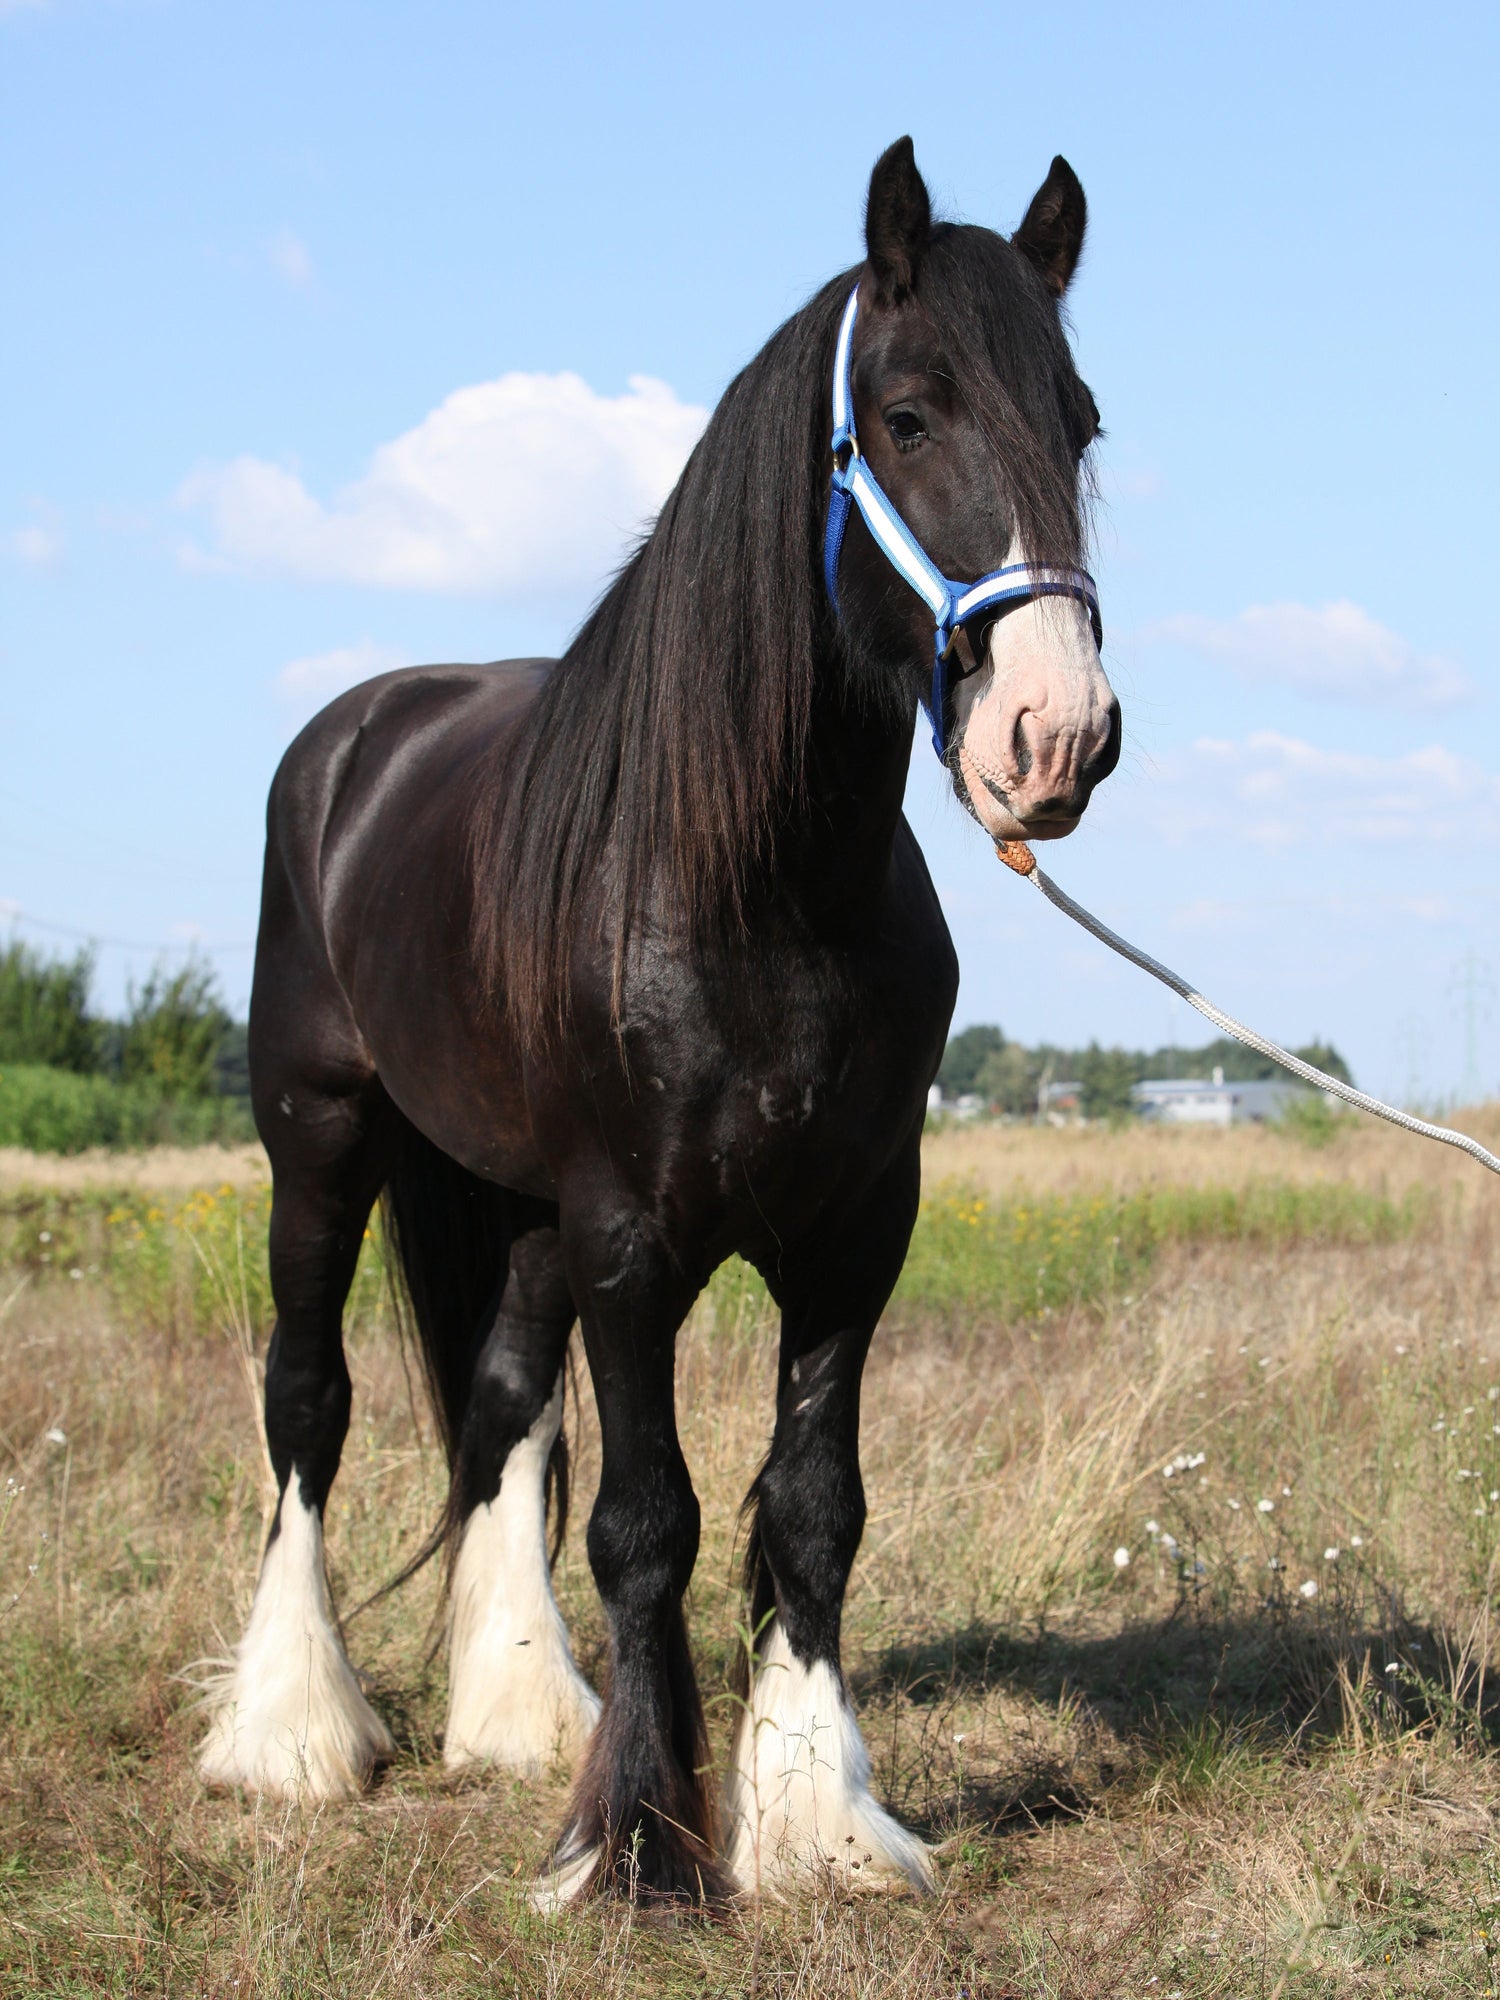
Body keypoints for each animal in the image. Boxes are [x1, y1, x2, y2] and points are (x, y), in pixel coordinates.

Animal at [197, 136, 1120, 1905]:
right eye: (909, 415)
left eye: (1084, 420)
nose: (1060, 735)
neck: (762, 888)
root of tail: (355, 736)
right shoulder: (631, 1239)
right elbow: (648, 1523)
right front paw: (635, 1846)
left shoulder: (855, 1232)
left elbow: (810, 1509)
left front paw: (816, 1821)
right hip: (322, 1145)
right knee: (306, 1402)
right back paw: (291, 1732)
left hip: (516, 1199)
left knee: (498, 1402)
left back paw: (514, 1710)